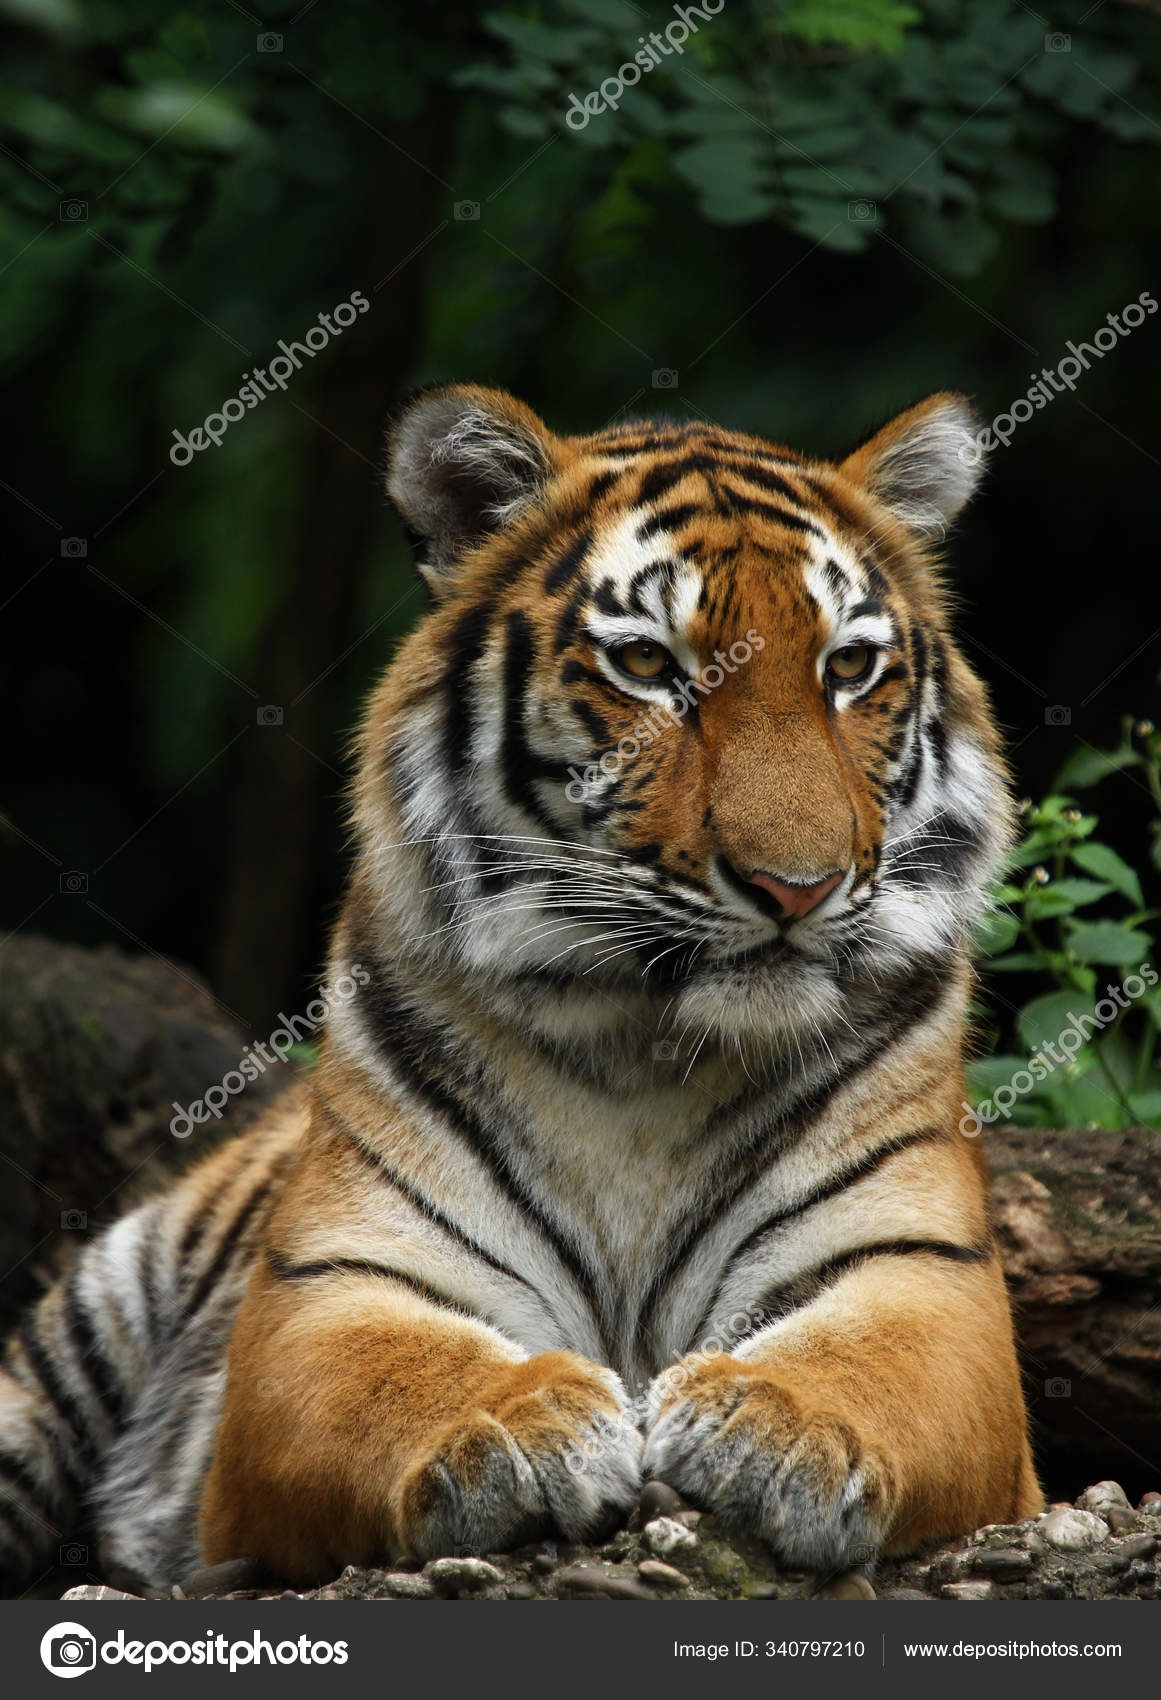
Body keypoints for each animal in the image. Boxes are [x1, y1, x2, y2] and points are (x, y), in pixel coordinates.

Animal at [0, 384, 1041, 1596]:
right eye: (647, 664)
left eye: (847, 669)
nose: (799, 885)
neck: (651, 1052)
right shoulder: (329, 1284)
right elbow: (394, 1373)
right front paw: (524, 1425)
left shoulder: (928, 1272)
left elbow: (868, 1358)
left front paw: (767, 1420)